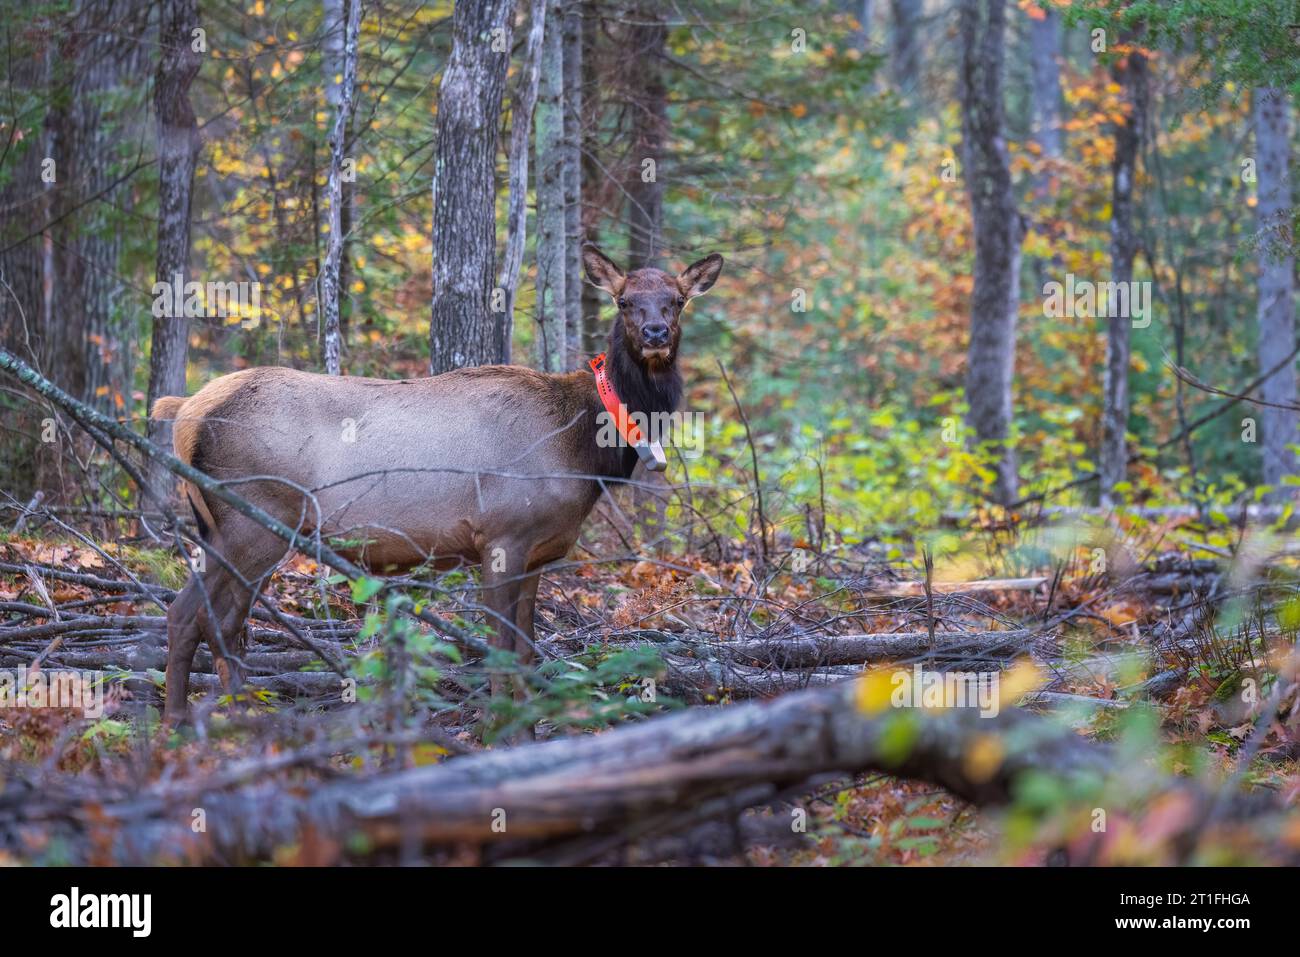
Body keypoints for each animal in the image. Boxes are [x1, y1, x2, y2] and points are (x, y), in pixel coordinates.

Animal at [149, 244, 723, 724]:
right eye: (625, 301)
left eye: (676, 300)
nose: (655, 334)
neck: (584, 448)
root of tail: (185, 410)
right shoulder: (502, 535)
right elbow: (499, 648)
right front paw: (500, 728)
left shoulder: (540, 551)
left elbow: (526, 648)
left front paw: (527, 720)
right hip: (250, 521)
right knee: (189, 615)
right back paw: (179, 723)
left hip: (234, 528)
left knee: (223, 622)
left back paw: (238, 716)